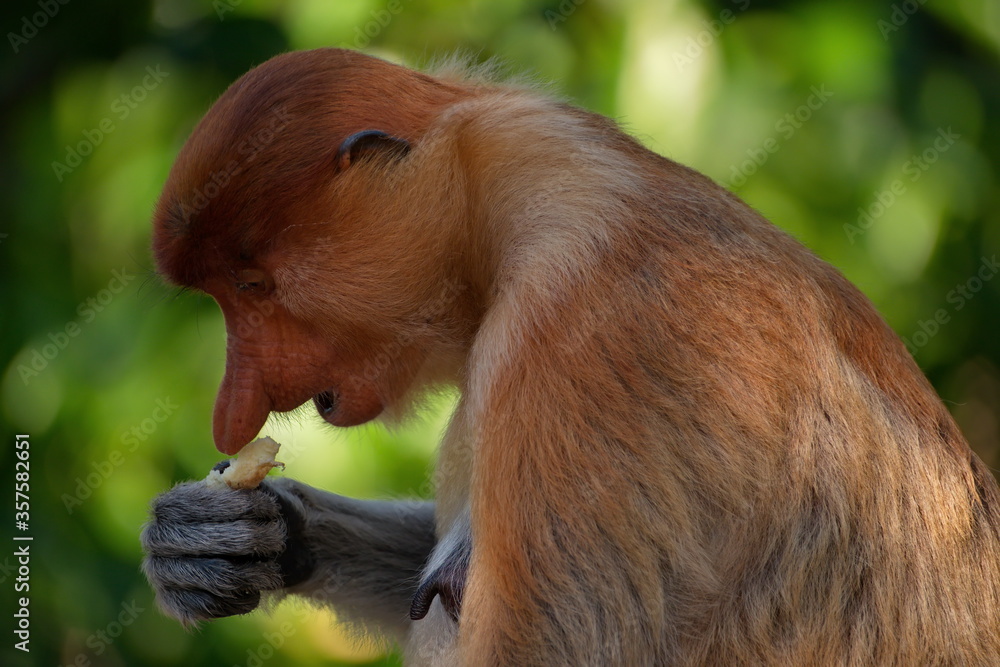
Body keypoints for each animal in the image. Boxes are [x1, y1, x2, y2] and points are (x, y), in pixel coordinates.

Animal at [140, 48, 1000, 666]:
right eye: (232, 293)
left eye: (254, 287)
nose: (234, 411)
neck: (518, 206)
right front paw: (218, 535)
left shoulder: (592, 343)